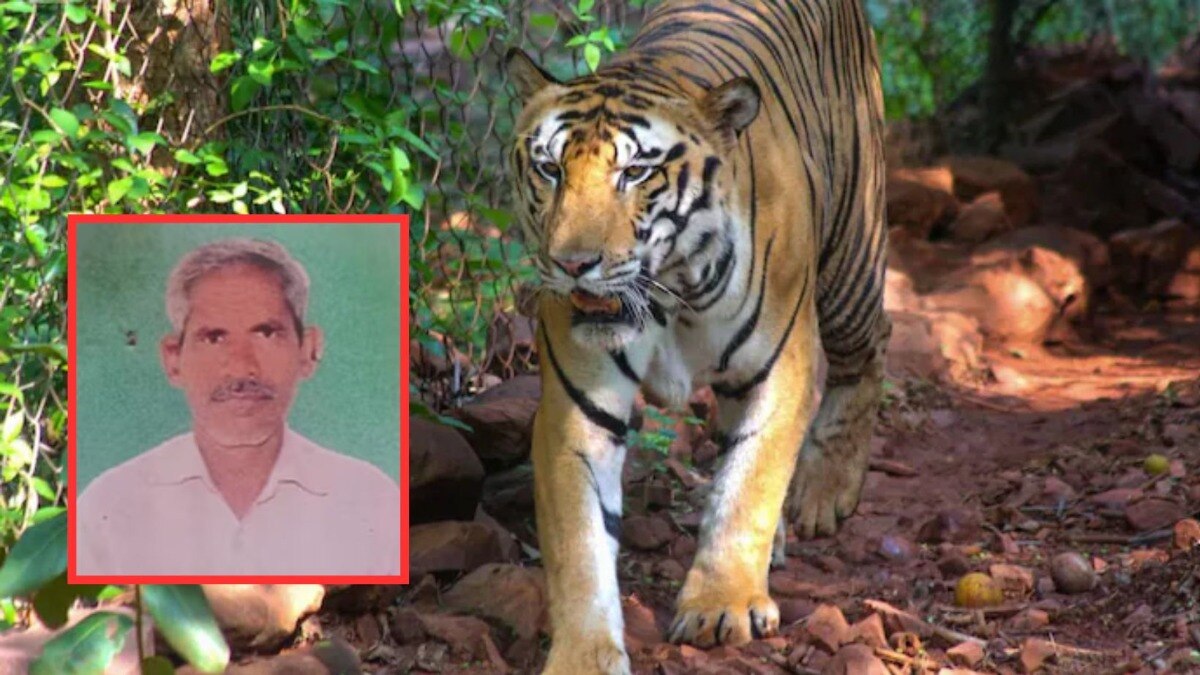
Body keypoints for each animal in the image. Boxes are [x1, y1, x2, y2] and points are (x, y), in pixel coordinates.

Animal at [505, 1, 890, 672]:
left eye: (635, 173)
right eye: (550, 169)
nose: (572, 264)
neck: (668, 294)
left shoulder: (780, 371)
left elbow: (747, 487)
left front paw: (721, 605)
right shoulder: (578, 411)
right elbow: (580, 544)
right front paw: (583, 653)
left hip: (852, 261)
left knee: (865, 357)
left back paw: (822, 494)